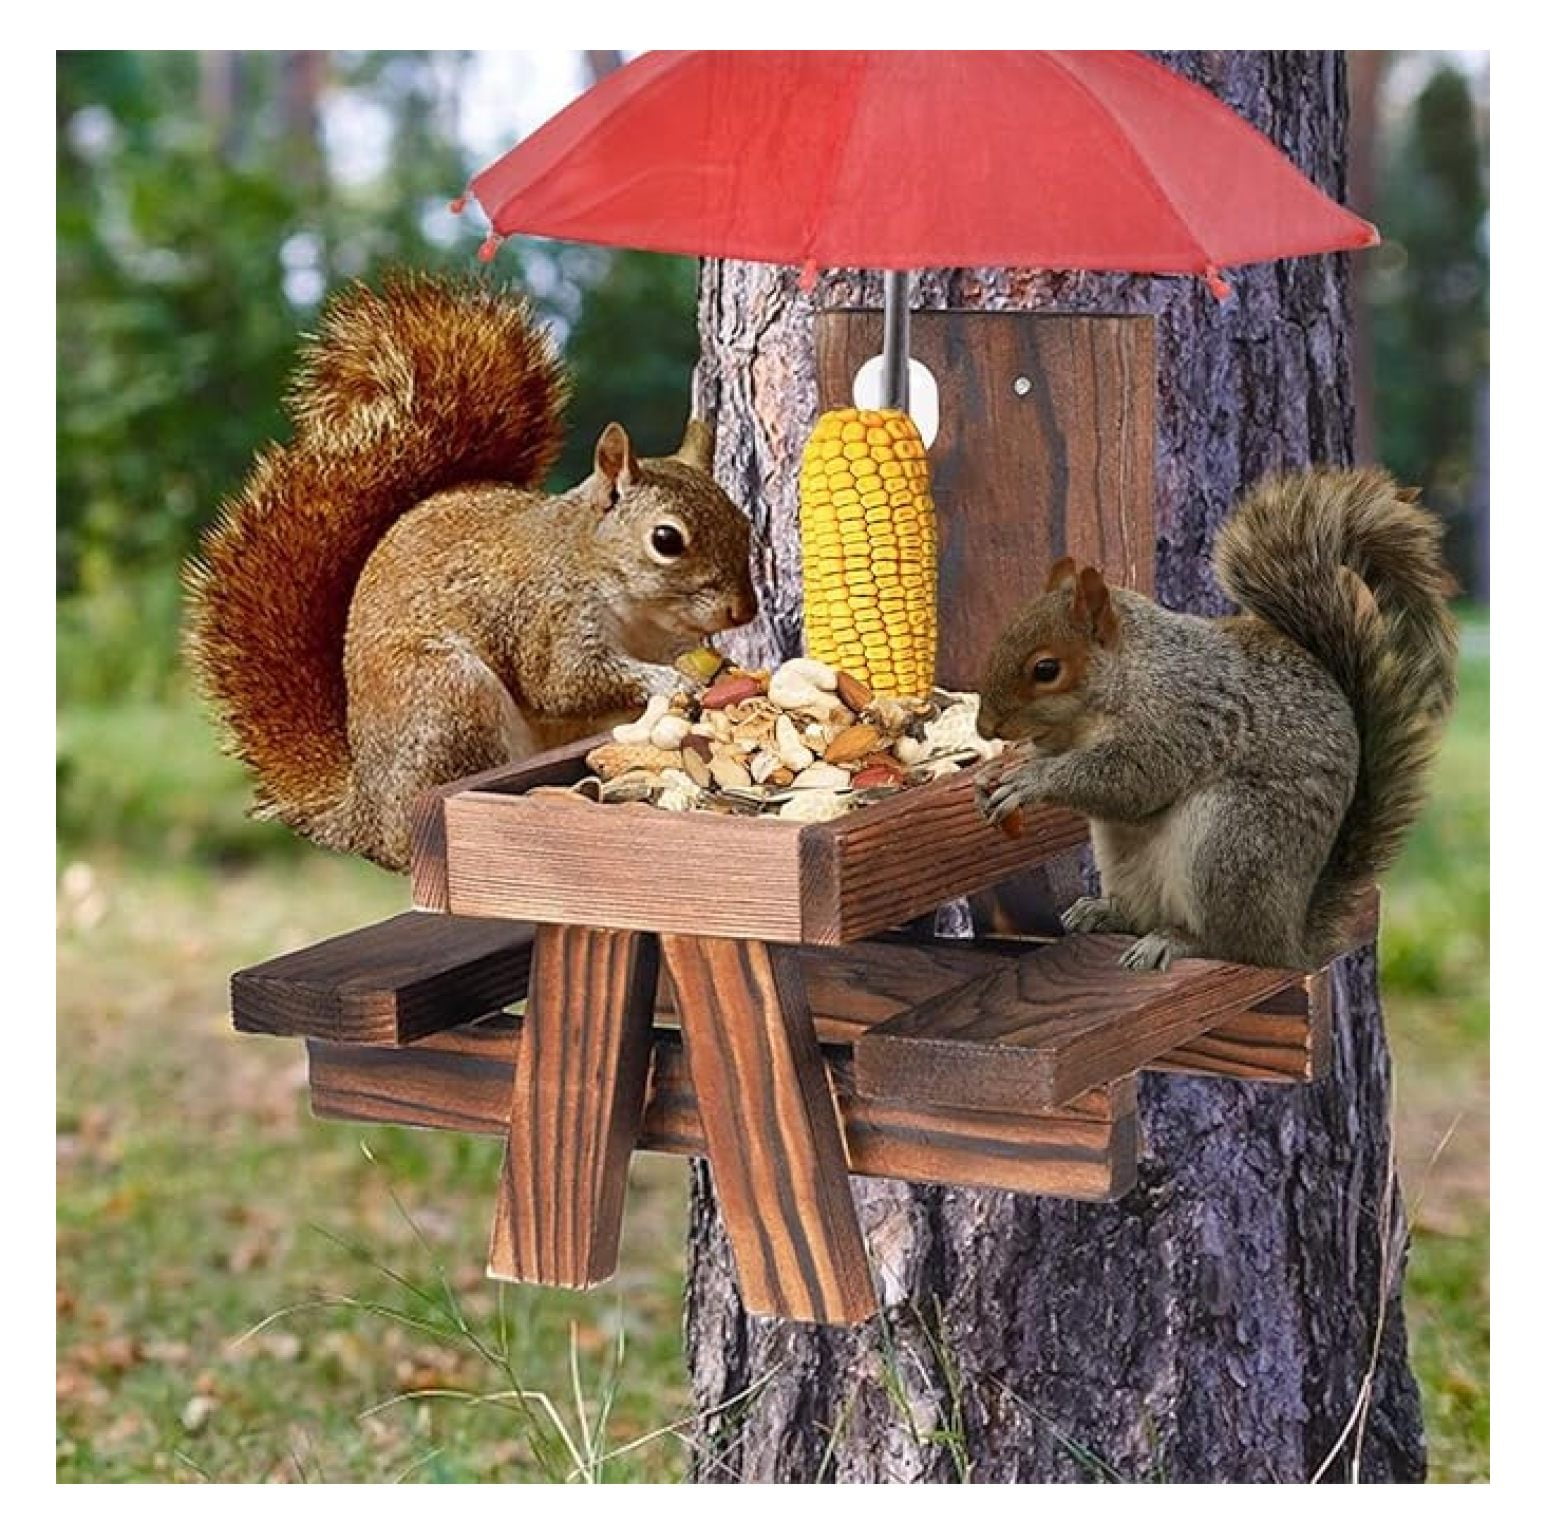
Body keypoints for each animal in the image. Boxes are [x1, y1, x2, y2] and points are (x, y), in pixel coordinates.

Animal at [185, 272, 758, 873]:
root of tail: (371, 822)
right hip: (449, 699)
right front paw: (669, 682)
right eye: (666, 540)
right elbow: (564, 683)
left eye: (743, 522)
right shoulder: (547, 619)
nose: (743, 610)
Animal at [974, 468, 1458, 972]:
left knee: (1230, 944)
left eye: (1046, 669)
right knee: (1141, 914)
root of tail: (1291, 942)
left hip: (1230, 838)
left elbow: (1131, 779)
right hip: (1127, 856)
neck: (1131, 673)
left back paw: (1177, 942)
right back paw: (1103, 912)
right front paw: (994, 773)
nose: (986, 727)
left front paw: (1031, 781)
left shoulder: (1178, 719)